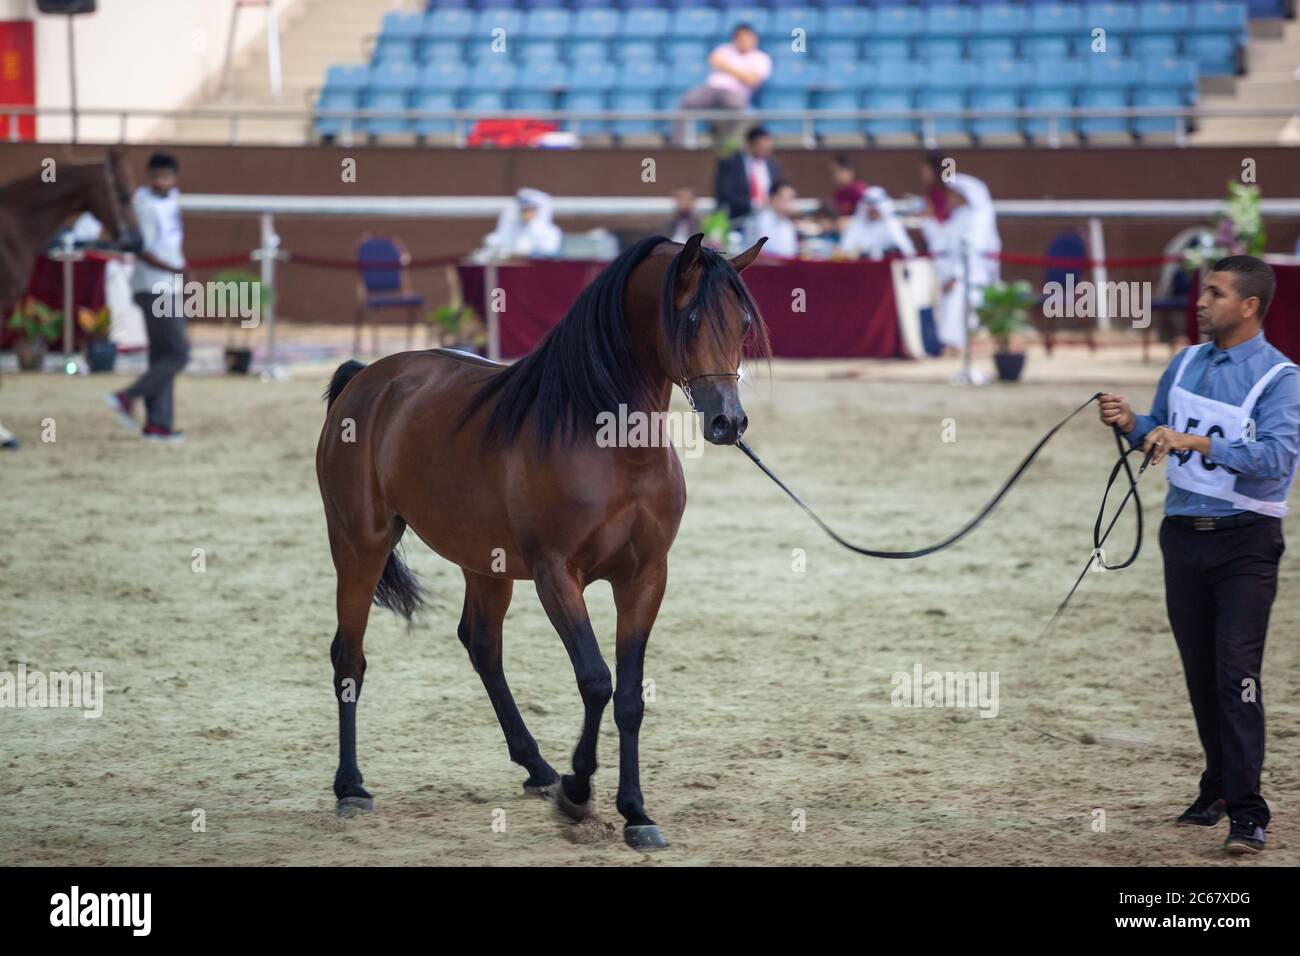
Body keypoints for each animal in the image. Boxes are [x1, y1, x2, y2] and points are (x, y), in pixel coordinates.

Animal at [316, 232, 768, 849]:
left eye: (743, 322)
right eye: (691, 316)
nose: (729, 422)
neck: (609, 443)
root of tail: (367, 379)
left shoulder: (646, 577)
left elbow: (629, 696)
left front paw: (636, 811)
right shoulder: (558, 575)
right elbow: (596, 680)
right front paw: (578, 796)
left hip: (484, 563)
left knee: (481, 645)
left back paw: (536, 767)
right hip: (360, 545)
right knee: (349, 655)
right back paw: (352, 788)